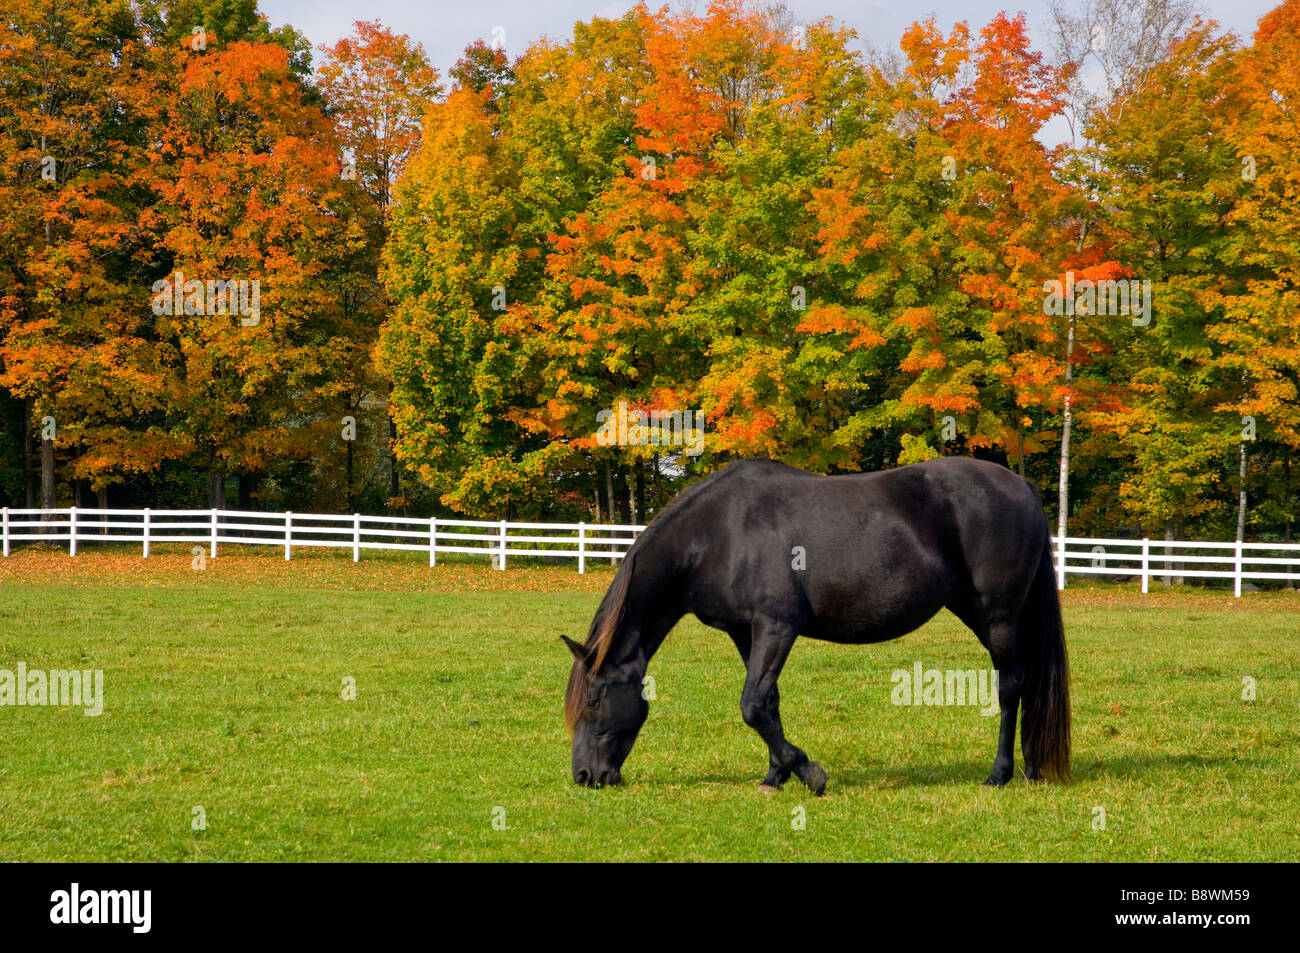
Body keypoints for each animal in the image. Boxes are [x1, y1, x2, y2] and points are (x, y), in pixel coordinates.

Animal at [562, 456, 1070, 793]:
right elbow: (767, 703)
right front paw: (775, 775)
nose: (585, 776)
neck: (719, 533)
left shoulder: (777, 626)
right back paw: (1030, 768)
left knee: (1010, 684)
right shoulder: (746, 632)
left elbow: (752, 705)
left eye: (594, 700)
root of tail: (1020, 486)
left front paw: (809, 773)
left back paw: (1001, 773)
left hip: (997, 616)